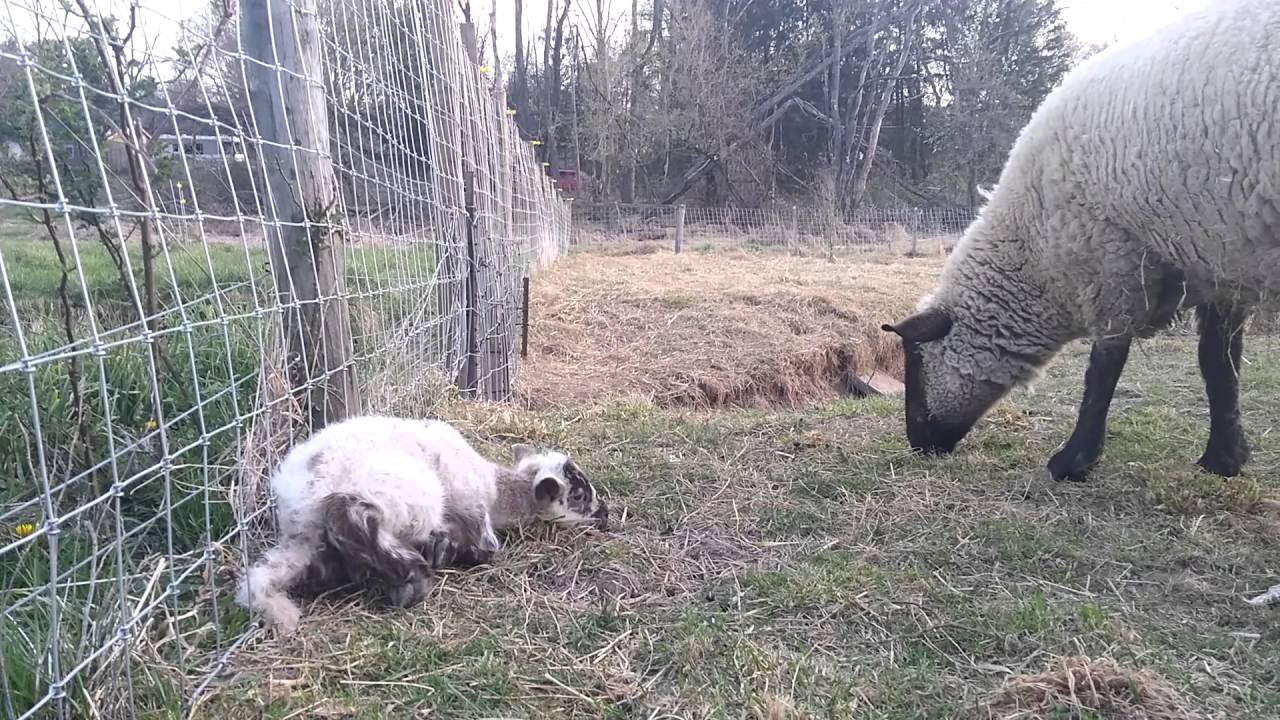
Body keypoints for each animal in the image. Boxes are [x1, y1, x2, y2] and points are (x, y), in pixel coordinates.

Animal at [234, 415, 608, 633]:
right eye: (578, 494)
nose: (605, 513)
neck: (498, 489)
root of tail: (300, 495)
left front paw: (441, 547)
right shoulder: (472, 504)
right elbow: (487, 548)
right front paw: (448, 550)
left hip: (309, 541)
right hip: (403, 493)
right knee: (348, 516)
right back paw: (412, 579)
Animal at [881, 0, 1280, 482]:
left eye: (914, 361)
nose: (916, 443)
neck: (1036, 252)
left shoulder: (1112, 259)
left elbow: (1104, 366)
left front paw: (1073, 460)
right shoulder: (1214, 256)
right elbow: (1219, 362)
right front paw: (1223, 458)